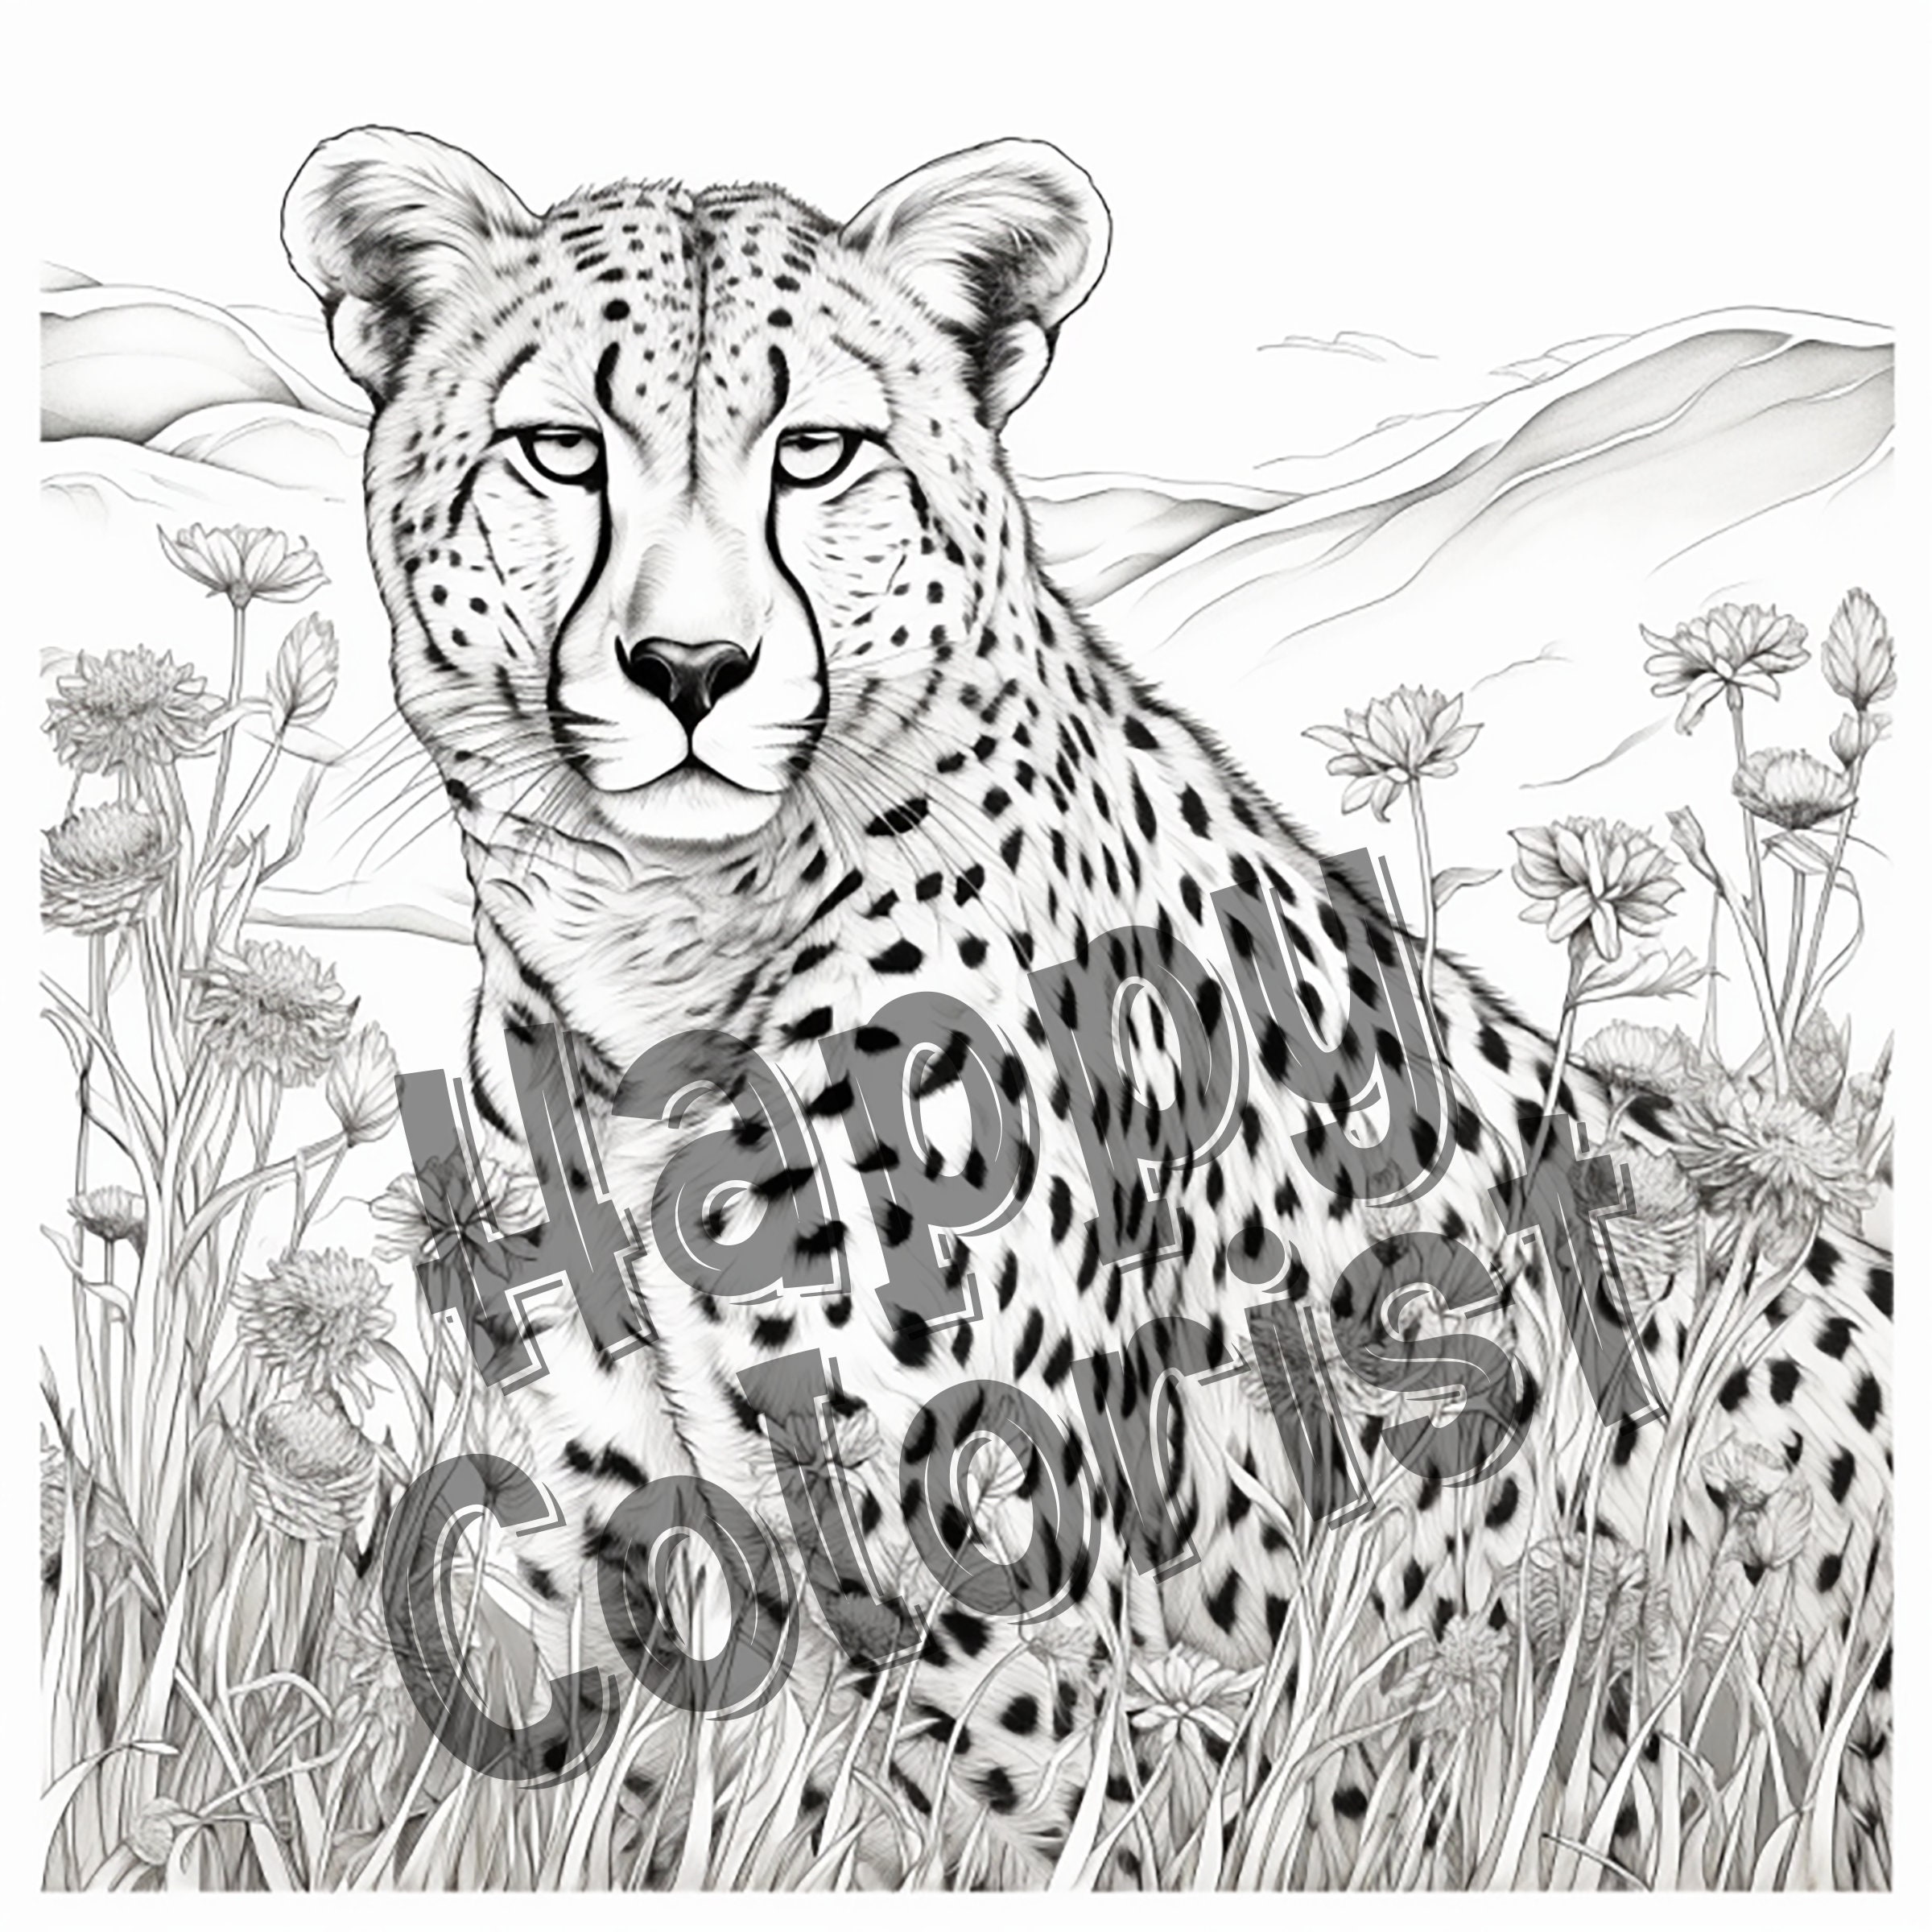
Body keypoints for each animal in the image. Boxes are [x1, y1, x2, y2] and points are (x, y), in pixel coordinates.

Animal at [284, 126, 1892, 1888]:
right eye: (562, 451)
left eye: (817, 452)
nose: (689, 667)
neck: (657, 942)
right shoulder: (633, 1529)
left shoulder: (982, 1599)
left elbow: (995, 1827)